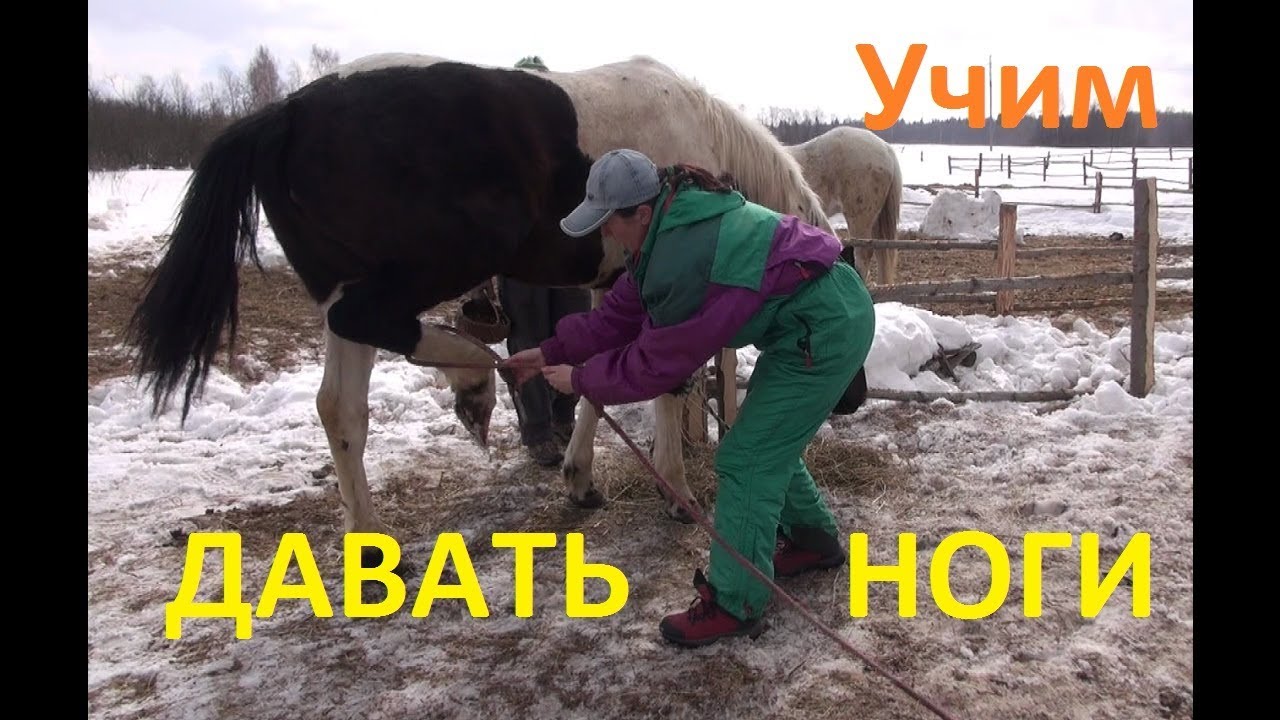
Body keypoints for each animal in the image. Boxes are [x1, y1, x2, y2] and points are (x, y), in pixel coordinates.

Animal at [126, 54, 838, 551]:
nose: (847, 399)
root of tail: (289, 112)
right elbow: (662, 384)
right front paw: (677, 492)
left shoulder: (616, 283)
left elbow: (597, 375)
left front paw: (580, 479)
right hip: (437, 262)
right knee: (381, 327)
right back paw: (473, 378)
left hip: (344, 285)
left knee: (340, 408)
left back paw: (371, 543)